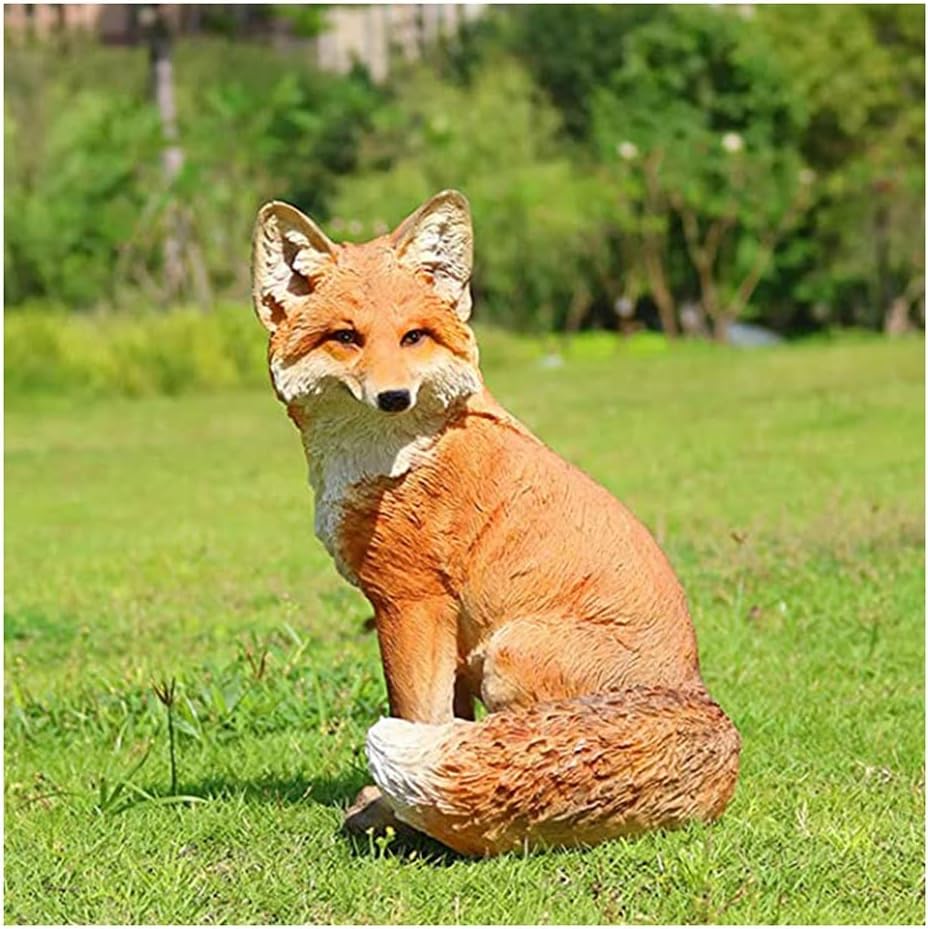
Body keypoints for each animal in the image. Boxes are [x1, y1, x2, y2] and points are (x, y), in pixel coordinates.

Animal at [250, 190, 741, 857]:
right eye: (346, 338)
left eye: (413, 337)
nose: (394, 397)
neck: (395, 457)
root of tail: (699, 697)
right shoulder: (443, 628)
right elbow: (448, 718)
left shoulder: (412, 601)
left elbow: (420, 714)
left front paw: (401, 820)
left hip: (509, 650)